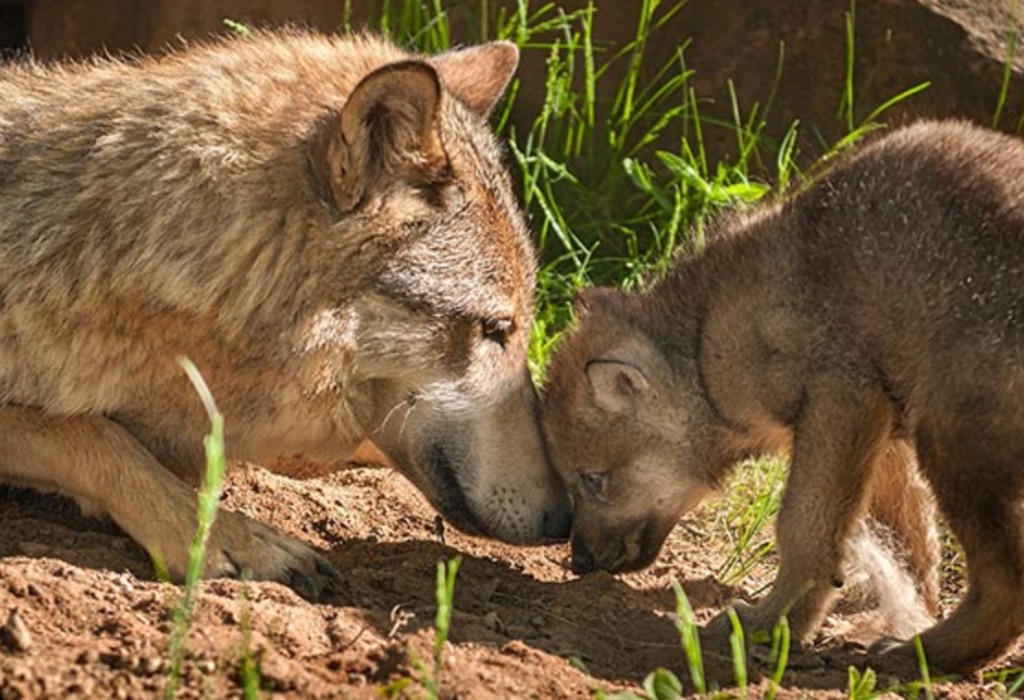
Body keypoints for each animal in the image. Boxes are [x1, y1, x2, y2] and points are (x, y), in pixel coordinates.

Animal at [542, 120, 1024, 672]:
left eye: (592, 479)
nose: (578, 562)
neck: (707, 340)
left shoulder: (840, 399)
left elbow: (805, 531)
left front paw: (772, 626)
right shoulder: (880, 425)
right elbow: (911, 545)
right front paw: (897, 610)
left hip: (952, 443)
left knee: (1006, 582)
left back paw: (919, 654)